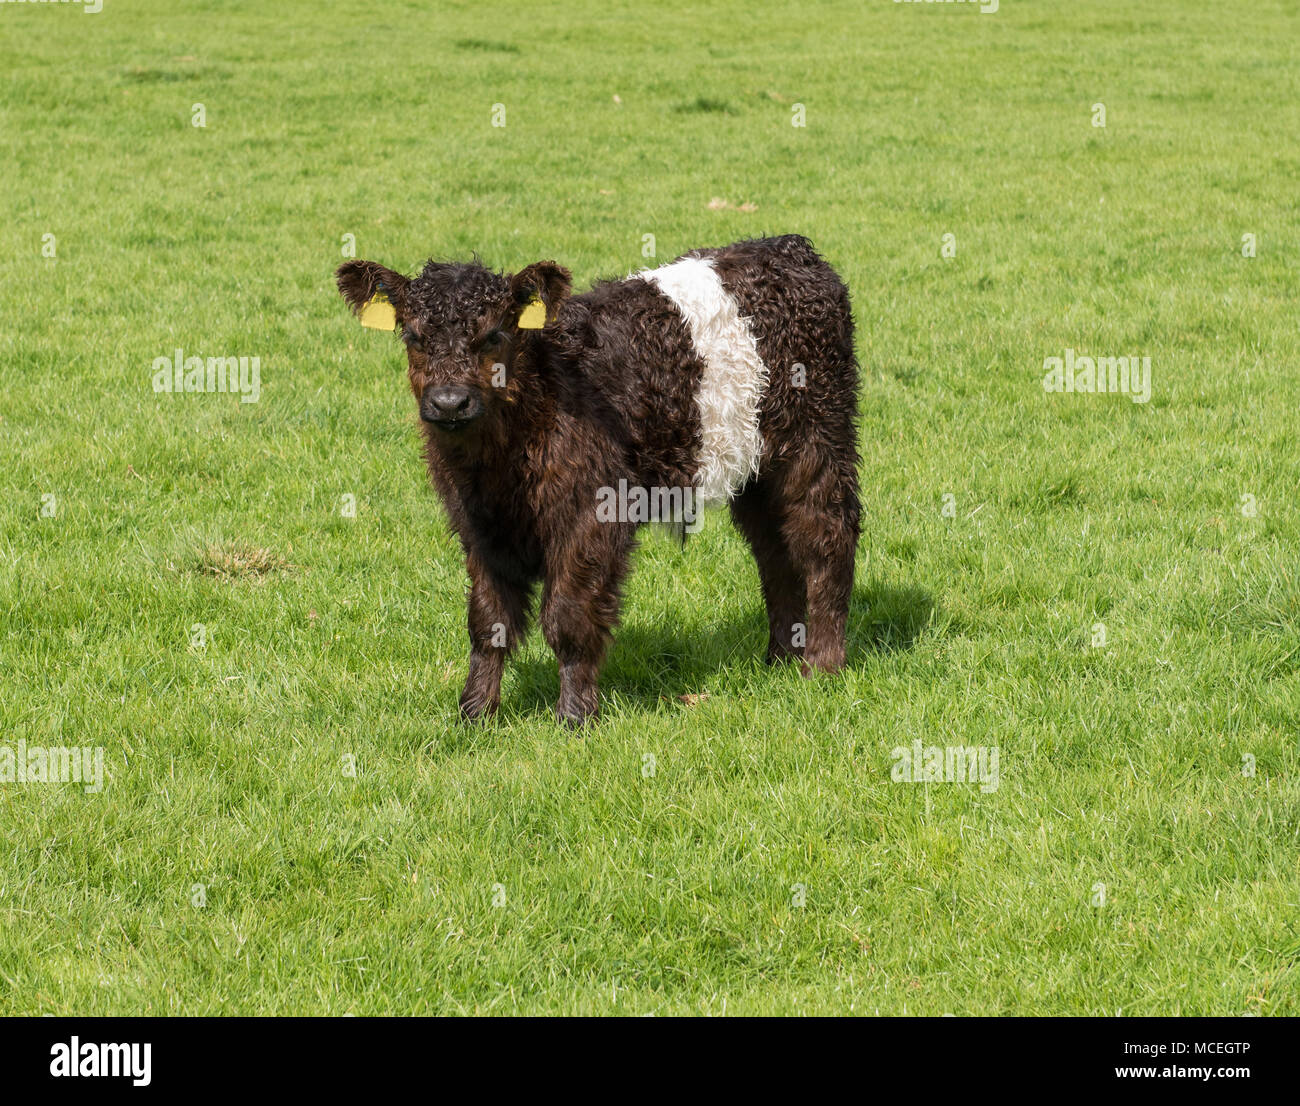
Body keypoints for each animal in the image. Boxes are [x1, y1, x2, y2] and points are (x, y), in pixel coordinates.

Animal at [337, 234, 860, 726]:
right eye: (413, 336)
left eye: (494, 335)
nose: (449, 402)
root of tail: (790, 247)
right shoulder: (477, 526)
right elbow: (487, 623)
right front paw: (474, 713)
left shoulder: (594, 513)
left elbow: (569, 617)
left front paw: (574, 716)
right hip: (755, 469)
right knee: (776, 553)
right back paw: (779, 658)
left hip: (818, 438)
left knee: (826, 536)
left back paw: (821, 665)